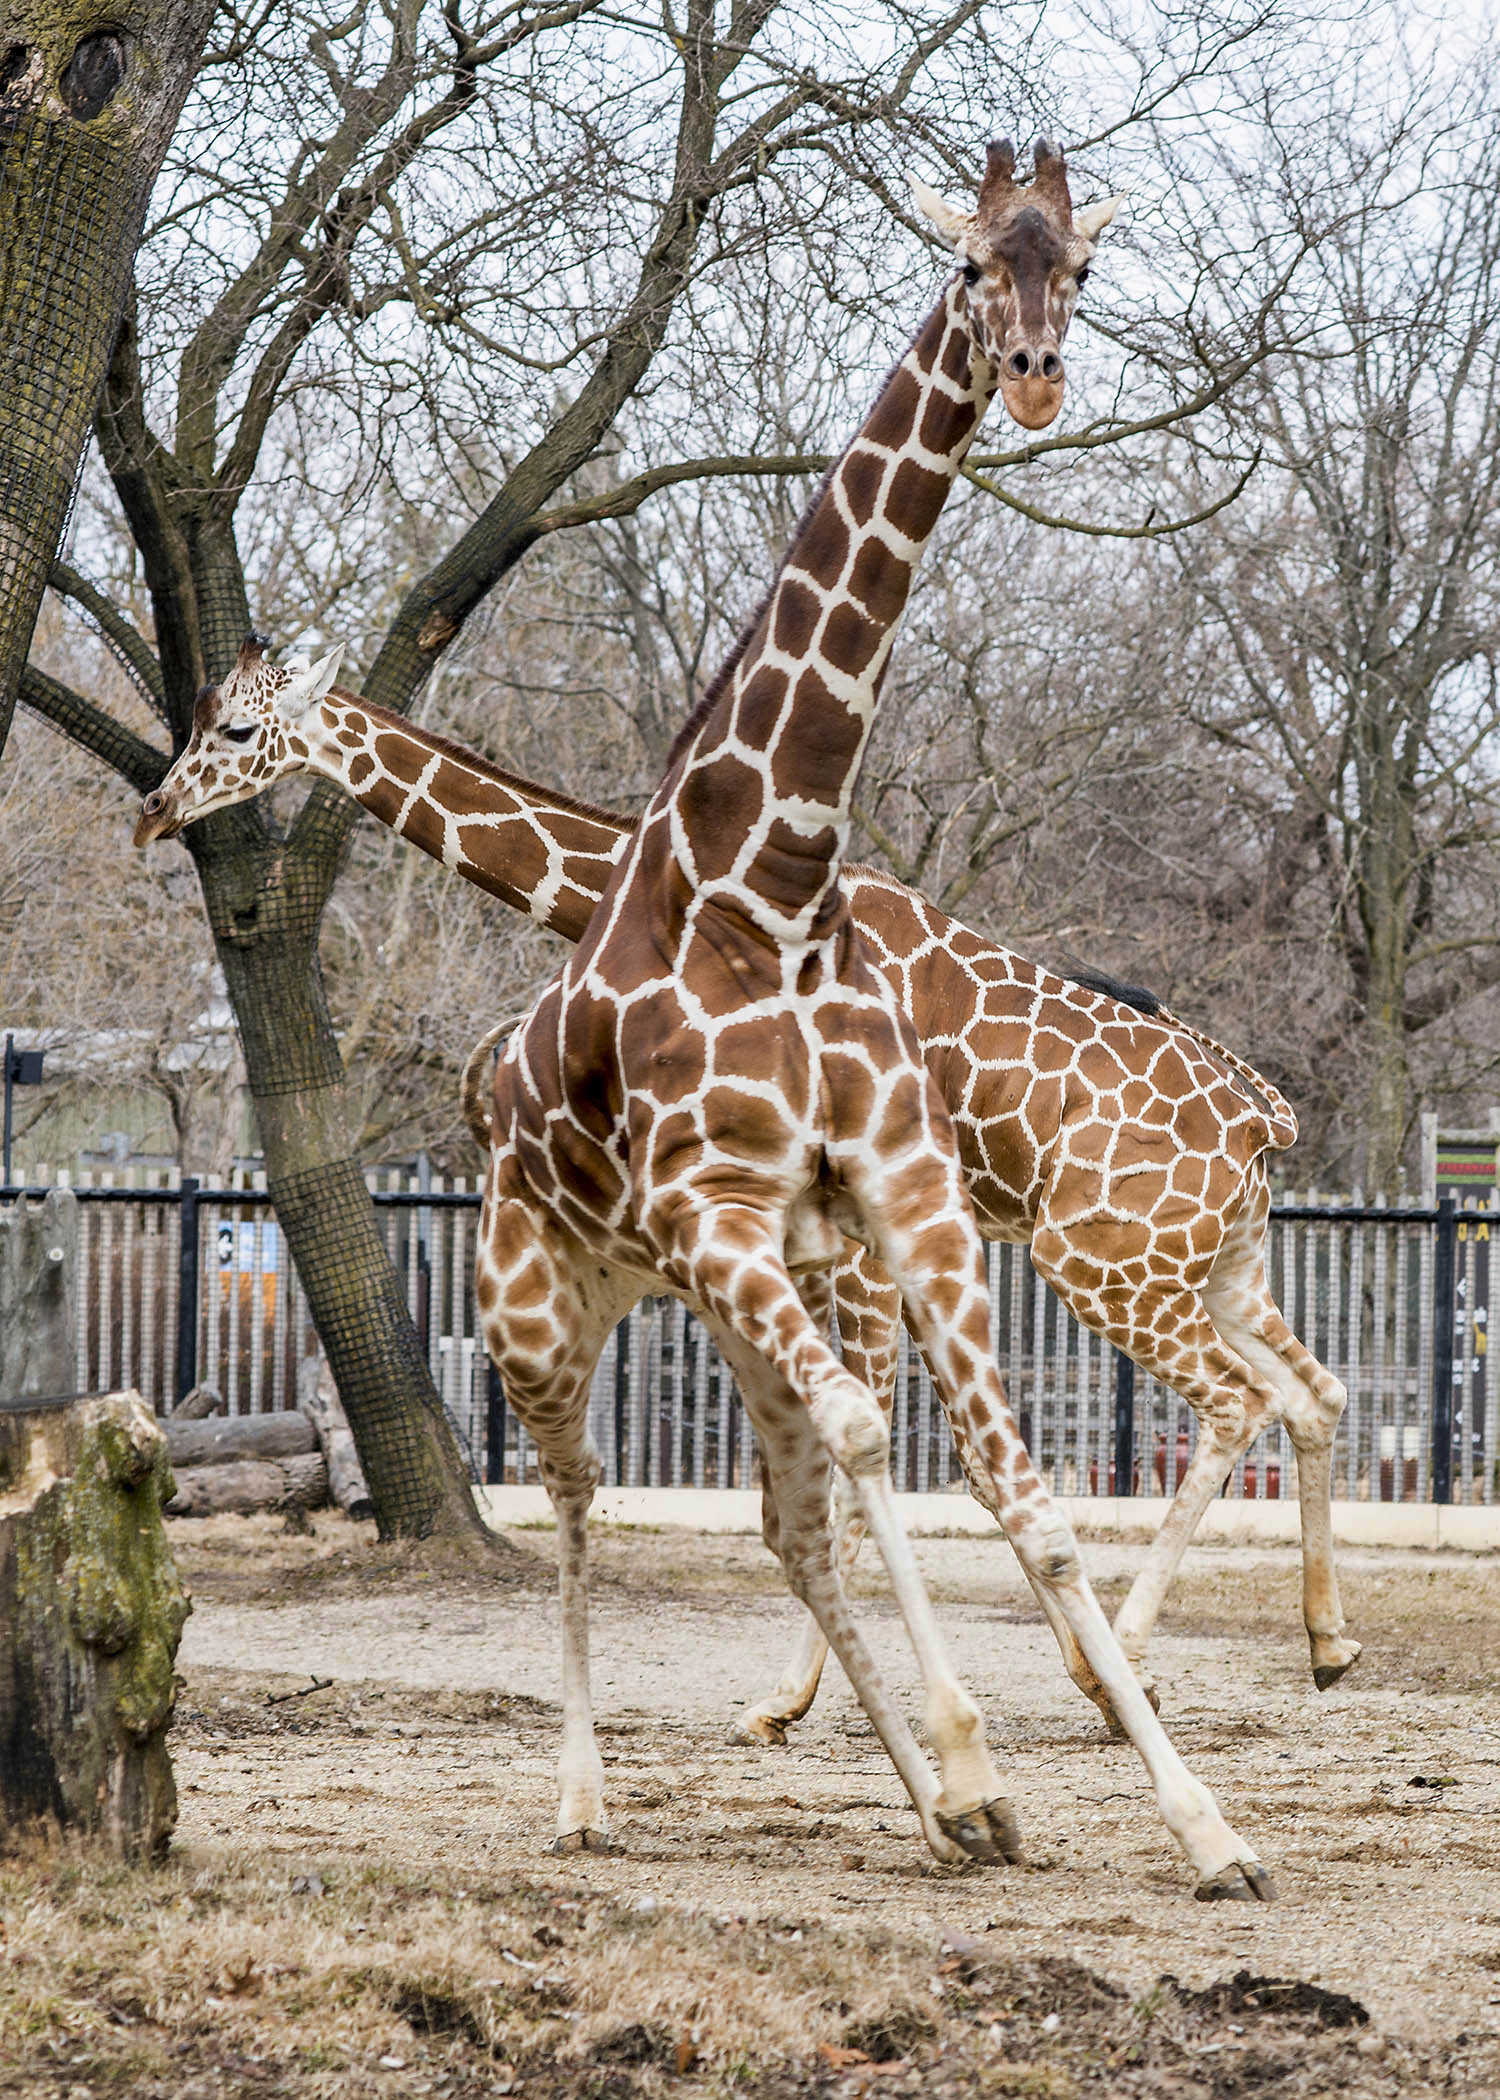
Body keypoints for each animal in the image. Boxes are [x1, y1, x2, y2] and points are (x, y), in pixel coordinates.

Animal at [137, 140, 1273, 1896]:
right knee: (592, 1498)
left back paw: (1051, 1723)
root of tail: (1270, 1115)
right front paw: (936, 1742)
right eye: (971, 266)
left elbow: (972, 1482)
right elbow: (893, 1459)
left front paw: (1132, 1798)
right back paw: (604, 1792)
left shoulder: (887, 1215)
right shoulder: (803, 1232)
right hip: (594, 1313)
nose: (1031, 374)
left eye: (1075, 268)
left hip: (1090, 1268)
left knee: (1219, 1412)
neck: (757, 881)